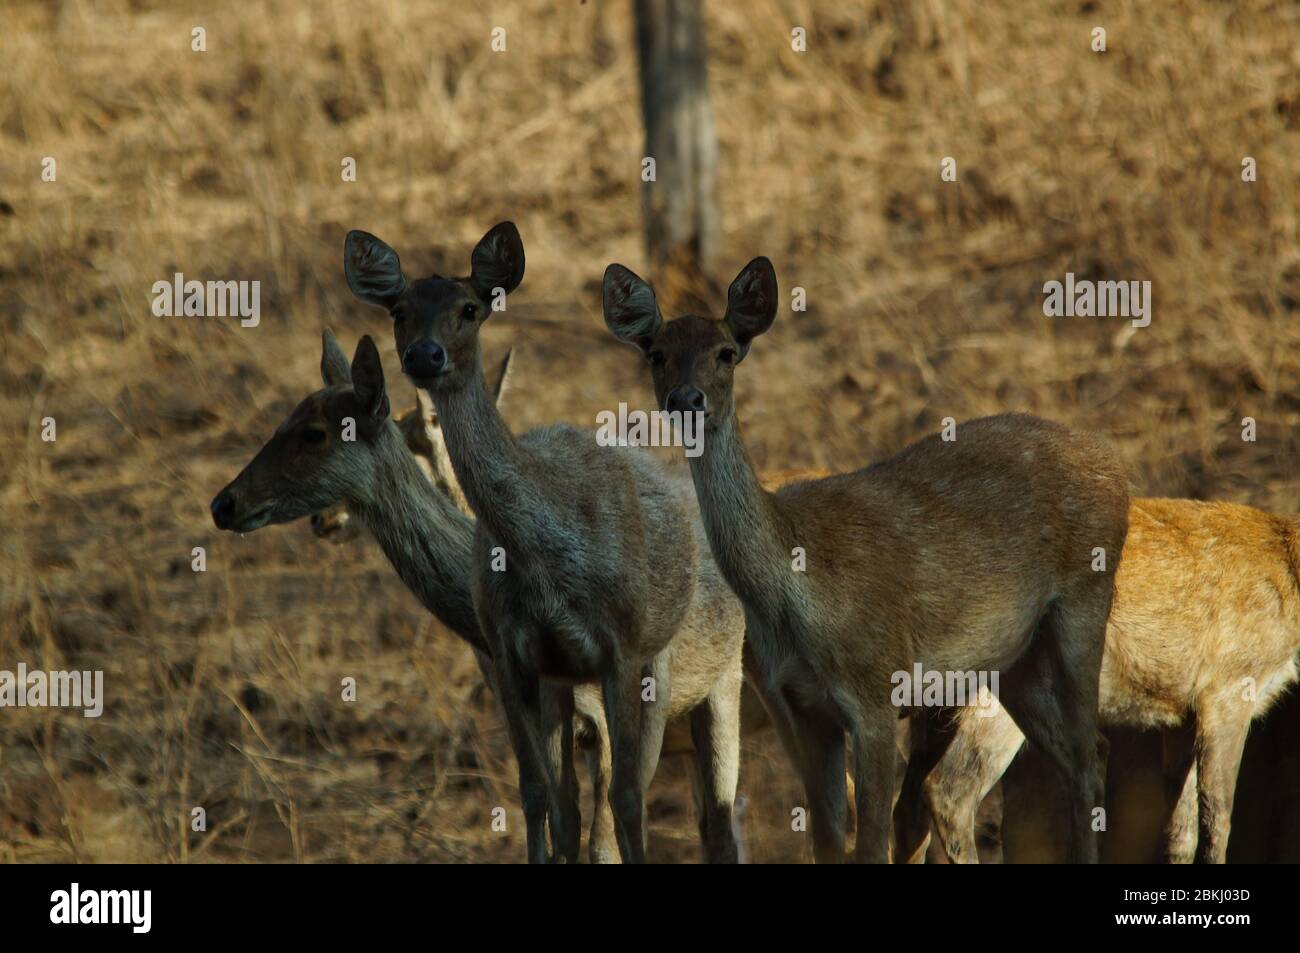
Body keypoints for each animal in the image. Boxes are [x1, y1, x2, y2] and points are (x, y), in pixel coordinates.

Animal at [341, 222, 755, 864]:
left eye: (470, 307)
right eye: (399, 310)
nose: (424, 356)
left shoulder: (623, 651)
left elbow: (623, 805)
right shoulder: (515, 655)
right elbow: (544, 798)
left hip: (714, 677)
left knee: (714, 810)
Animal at [601, 256, 1131, 863]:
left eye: (726, 351)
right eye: (656, 353)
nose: (686, 400)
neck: (798, 591)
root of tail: (1114, 465)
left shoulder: (877, 689)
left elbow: (871, 842)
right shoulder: (800, 708)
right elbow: (831, 840)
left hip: (1085, 603)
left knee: (1089, 753)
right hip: (1012, 660)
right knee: (1073, 753)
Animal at [903, 496, 1300, 864]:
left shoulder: (1181, 712)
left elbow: (1180, 831)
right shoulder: (1228, 684)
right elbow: (1218, 816)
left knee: (909, 800)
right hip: (995, 692)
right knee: (949, 788)